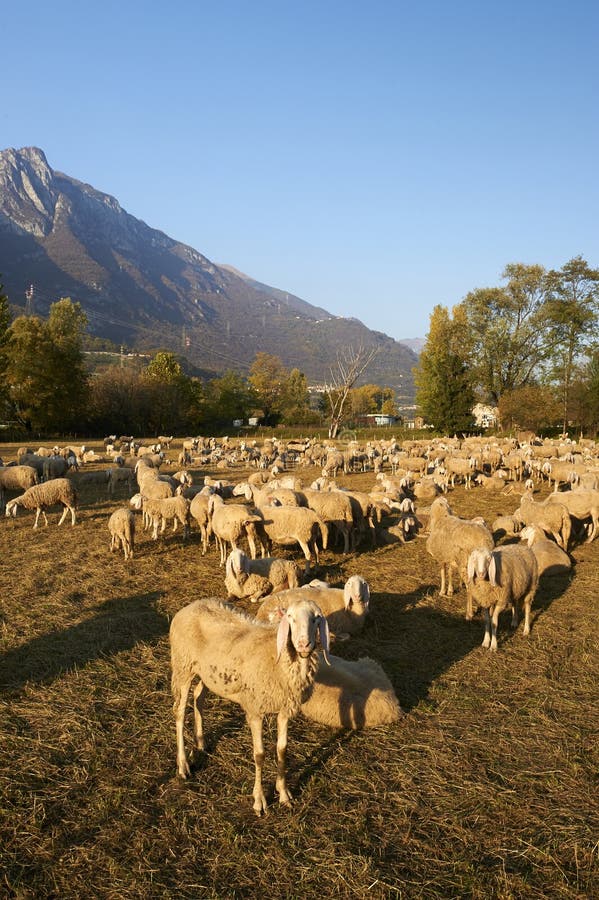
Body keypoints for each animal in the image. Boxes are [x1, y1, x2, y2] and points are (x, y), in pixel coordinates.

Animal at [170, 595, 330, 815]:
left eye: (316, 618)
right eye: (290, 617)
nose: (303, 644)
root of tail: (192, 605)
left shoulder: (285, 709)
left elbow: (282, 749)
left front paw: (284, 794)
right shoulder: (255, 710)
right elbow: (260, 755)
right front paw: (259, 800)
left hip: (208, 673)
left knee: (198, 696)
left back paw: (201, 741)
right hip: (182, 667)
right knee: (179, 712)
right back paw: (183, 765)